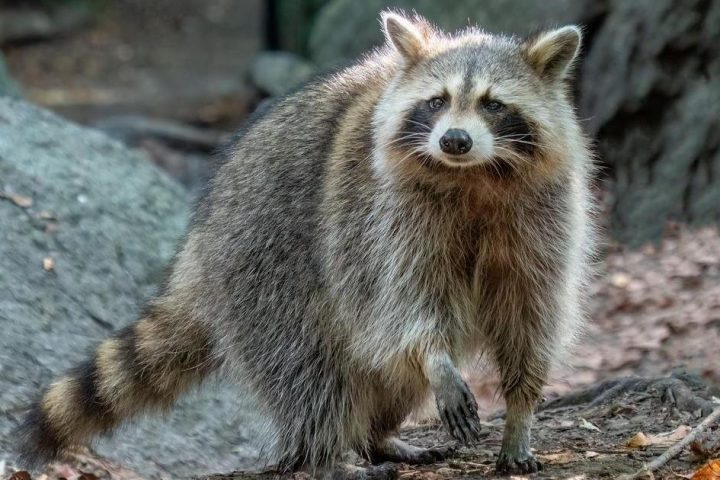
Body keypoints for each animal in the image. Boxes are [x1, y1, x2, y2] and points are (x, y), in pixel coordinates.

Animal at [17, 10, 594, 479]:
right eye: (437, 101)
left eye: (493, 105)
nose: (454, 140)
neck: (474, 175)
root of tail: (198, 246)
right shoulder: (383, 217)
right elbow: (405, 302)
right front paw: (437, 360)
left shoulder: (543, 217)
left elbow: (531, 313)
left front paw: (521, 412)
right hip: (264, 263)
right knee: (308, 365)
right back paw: (325, 453)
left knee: (382, 372)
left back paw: (378, 435)